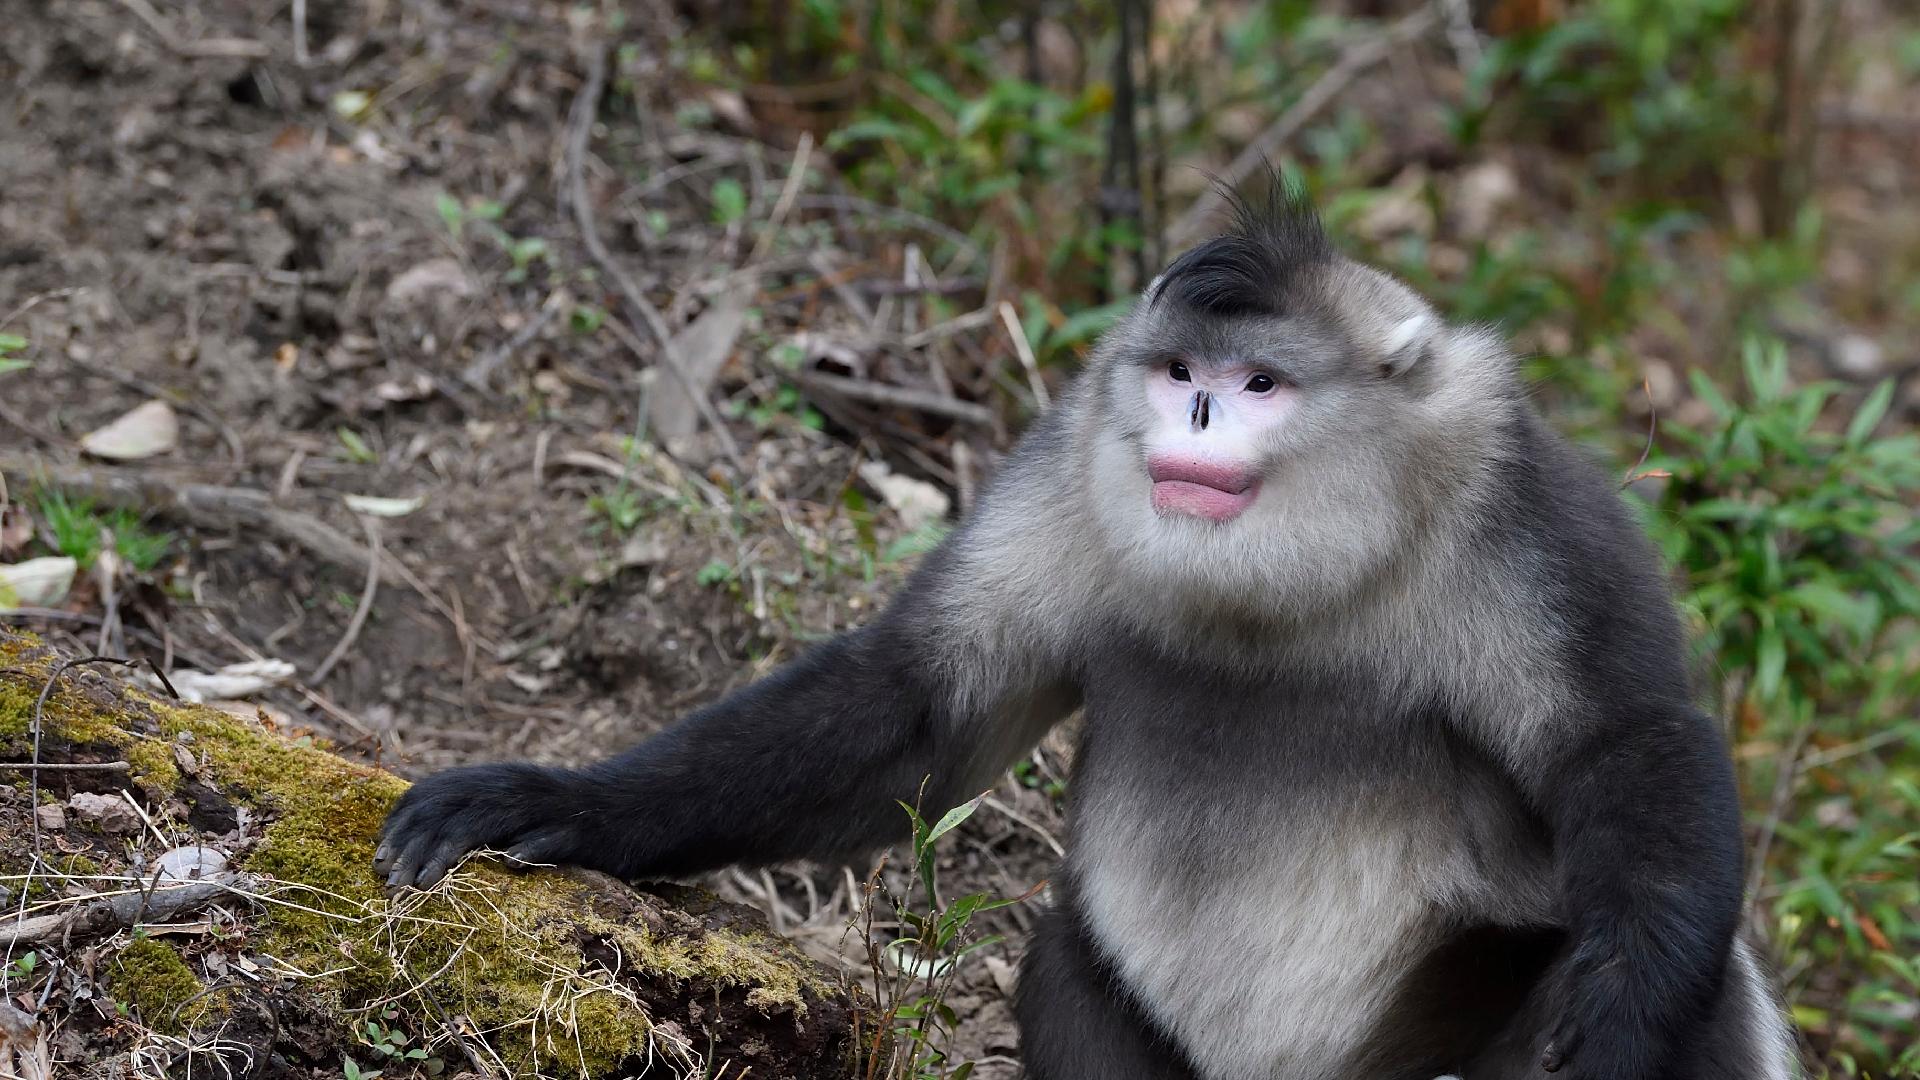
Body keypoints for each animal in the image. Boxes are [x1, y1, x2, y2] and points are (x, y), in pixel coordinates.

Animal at [376, 183, 1801, 1080]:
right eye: (1181, 376)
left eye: (1260, 384)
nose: (1200, 420)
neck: (1286, 591)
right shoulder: (1075, 460)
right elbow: (914, 709)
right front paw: (559, 803)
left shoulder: (1524, 507)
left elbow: (1626, 741)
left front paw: (1621, 1005)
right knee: (1065, 960)